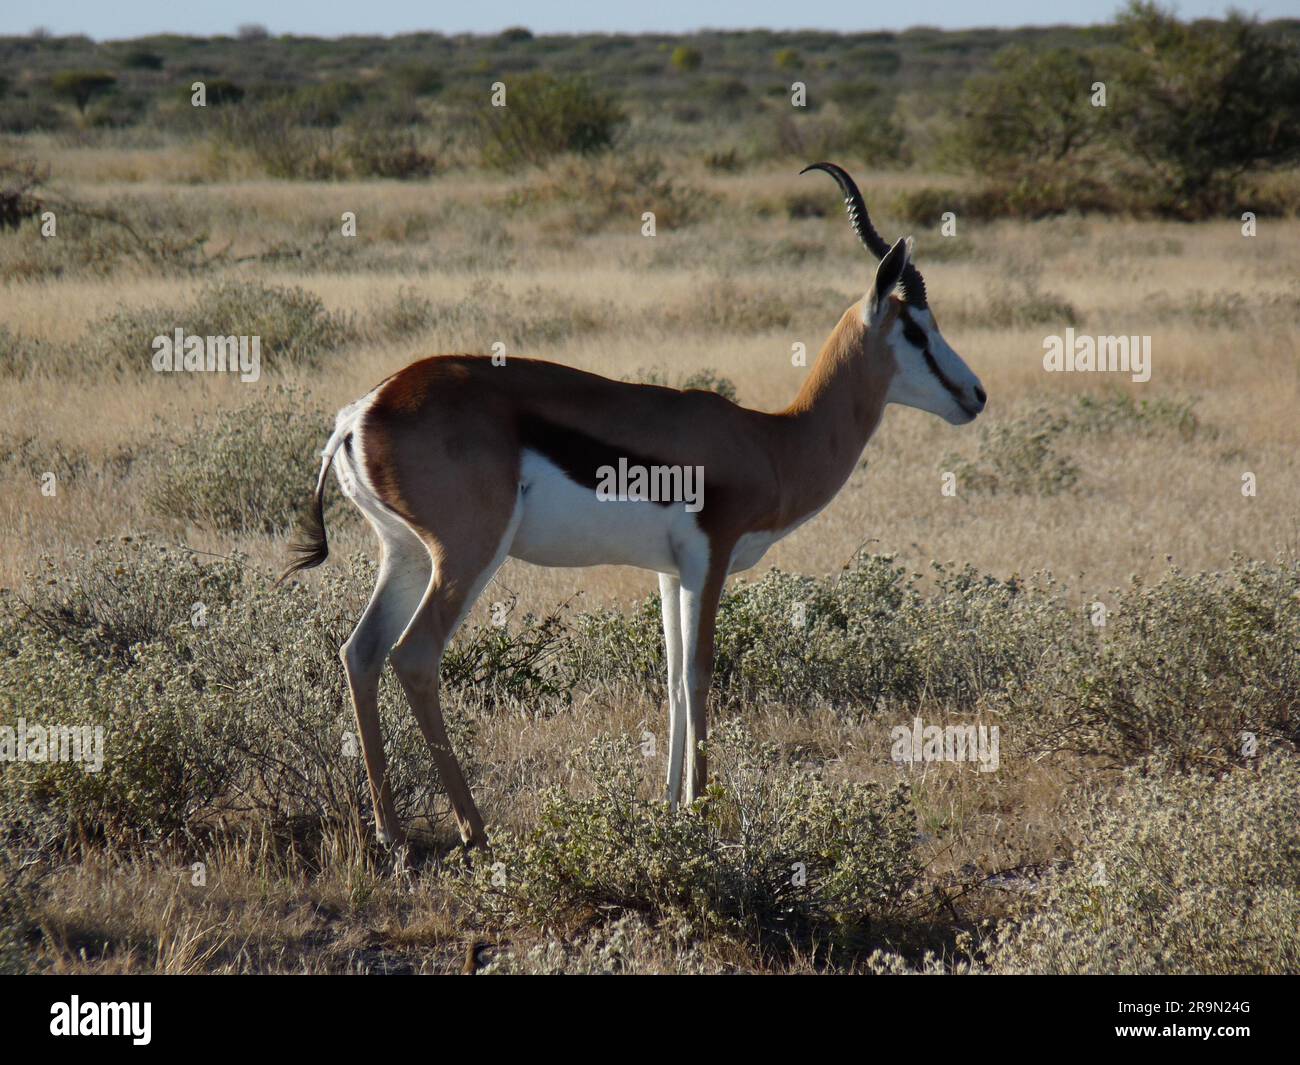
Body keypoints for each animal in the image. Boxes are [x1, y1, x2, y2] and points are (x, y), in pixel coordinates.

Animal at [280, 162, 986, 849]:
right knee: (415, 655)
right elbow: (699, 673)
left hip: (403, 553)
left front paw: (671, 809)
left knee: (361, 652)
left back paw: (392, 833)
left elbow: (671, 679)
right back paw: (473, 831)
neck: (772, 440)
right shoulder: (710, 558)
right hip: (467, 553)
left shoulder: (670, 572)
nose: (975, 395)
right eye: (917, 328)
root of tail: (361, 411)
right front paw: (703, 810)